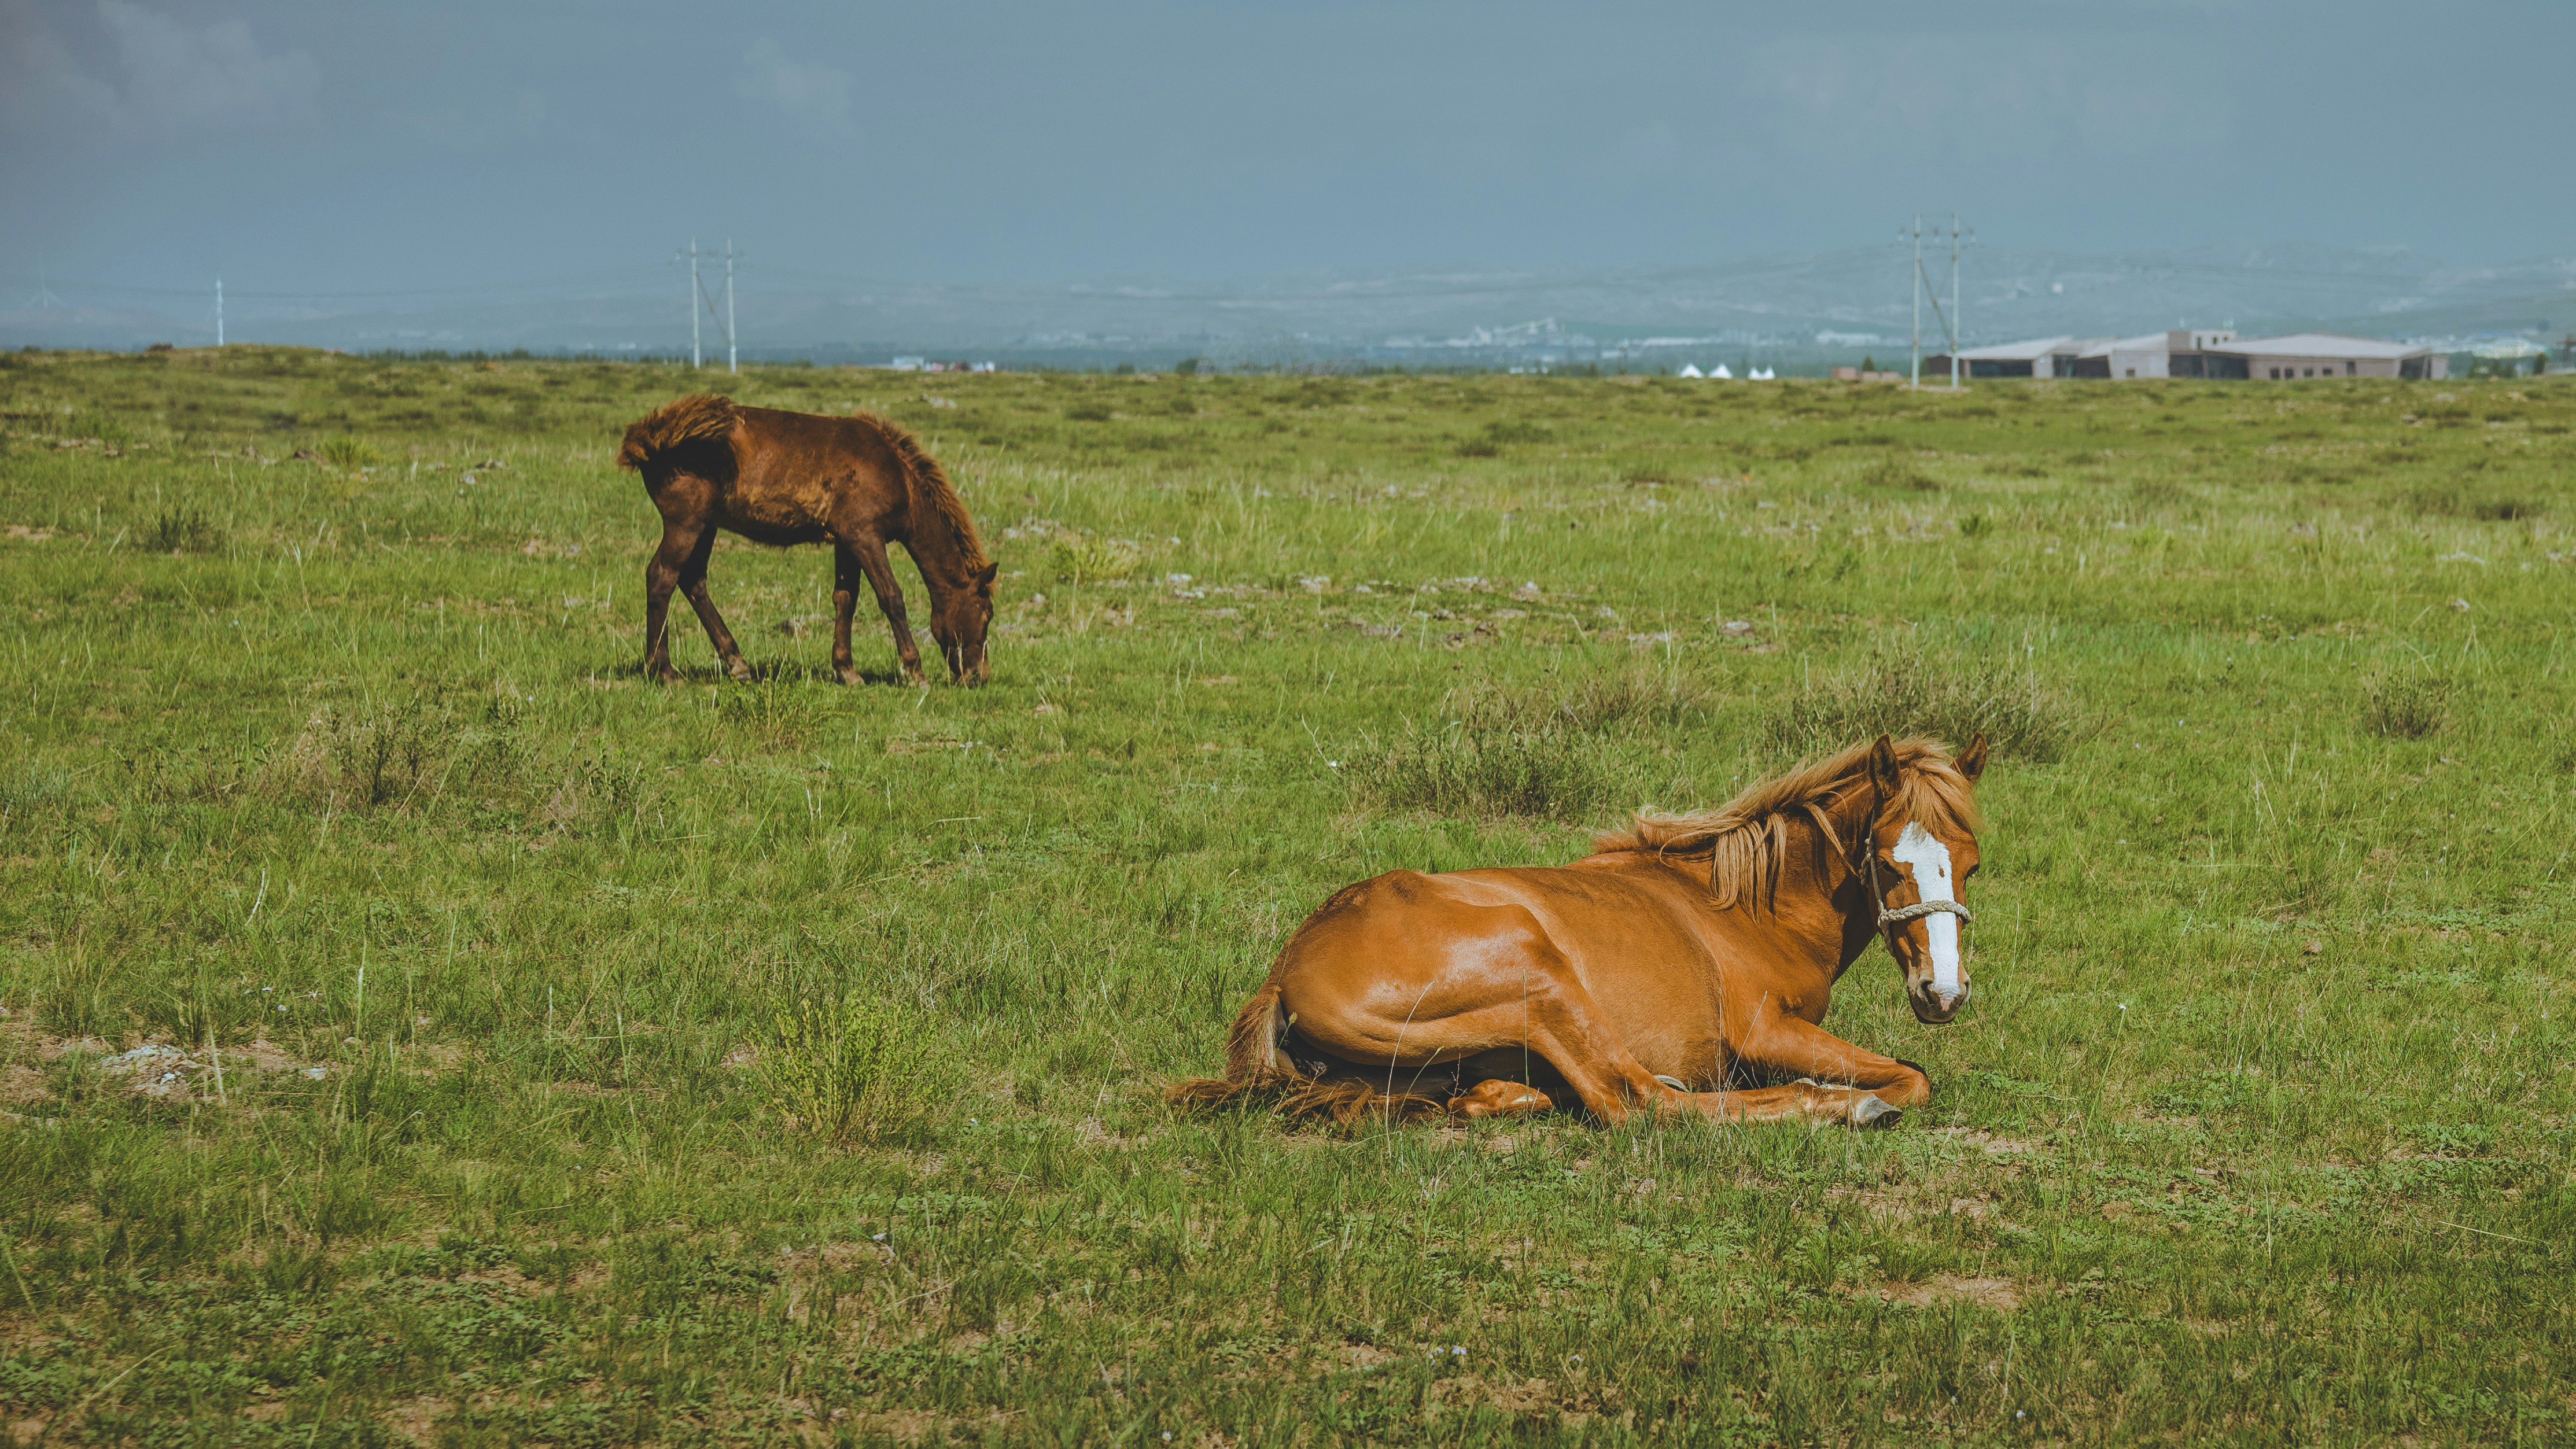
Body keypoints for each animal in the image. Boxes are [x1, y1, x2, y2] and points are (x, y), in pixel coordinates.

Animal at [614, 395, 998, 686]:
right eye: (986, 615)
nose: (978, 676)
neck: (897, 475)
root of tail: (651, 438)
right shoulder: (865, 536)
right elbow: (892, 598)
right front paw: (915, 671)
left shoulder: (846, 540)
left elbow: (846, 599)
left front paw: (847, 671)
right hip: (686, 524)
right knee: (662, 577)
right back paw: (665, 671)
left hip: (706, 525)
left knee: (693, 581)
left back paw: (738, 664)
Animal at [1168, 733, 1987, 1129]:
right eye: (1889, 865)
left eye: (1973, 866)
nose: (1943, 994)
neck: (1745, 910)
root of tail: (1284, 973)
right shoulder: (1765, 1032)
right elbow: (1912, 1077)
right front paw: (1852, 1093)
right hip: (1543, 978)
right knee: (1641, 1102)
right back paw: (1834, 1105)